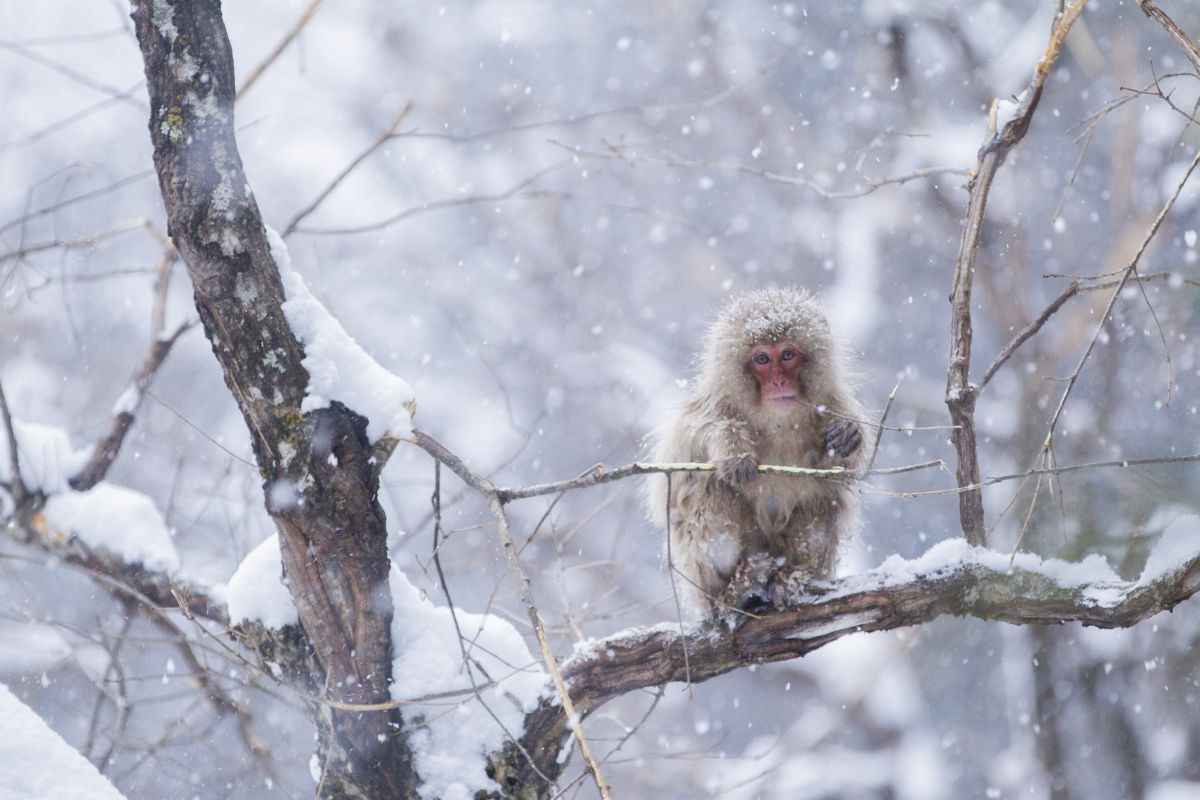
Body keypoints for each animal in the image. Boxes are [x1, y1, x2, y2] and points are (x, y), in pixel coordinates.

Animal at [645, 287, 870, 616]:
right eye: (762, 359)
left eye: (788, 355)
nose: (778, 381)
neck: (776, 419)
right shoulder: (714, 404)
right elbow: (685, 448)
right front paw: (732, 448)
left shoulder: (830, 403)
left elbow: (839, 475)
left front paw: (848, 435)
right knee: (709, 488)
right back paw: (736, 592)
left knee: (820, 497)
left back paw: (792, 577)